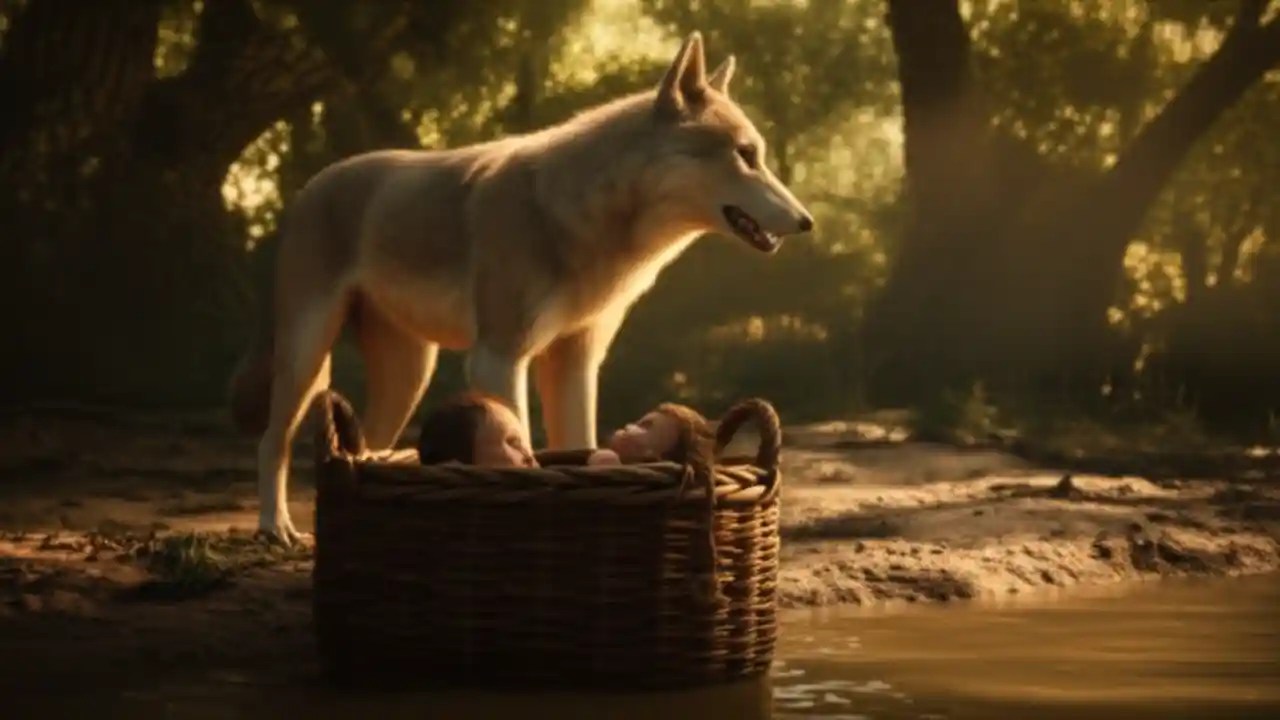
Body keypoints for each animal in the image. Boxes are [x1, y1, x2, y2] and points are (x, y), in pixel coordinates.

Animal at [227, 32, 814, 544]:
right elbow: (519, 437)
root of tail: (309, 188)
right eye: (745, 154)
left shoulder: (576, 362)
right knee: (272, 441)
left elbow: (576, 443)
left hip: (407, 374)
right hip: (308, 356)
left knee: (366, 448)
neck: (584, 221)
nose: (806, 222)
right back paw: (275, 528)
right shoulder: (499, 357)